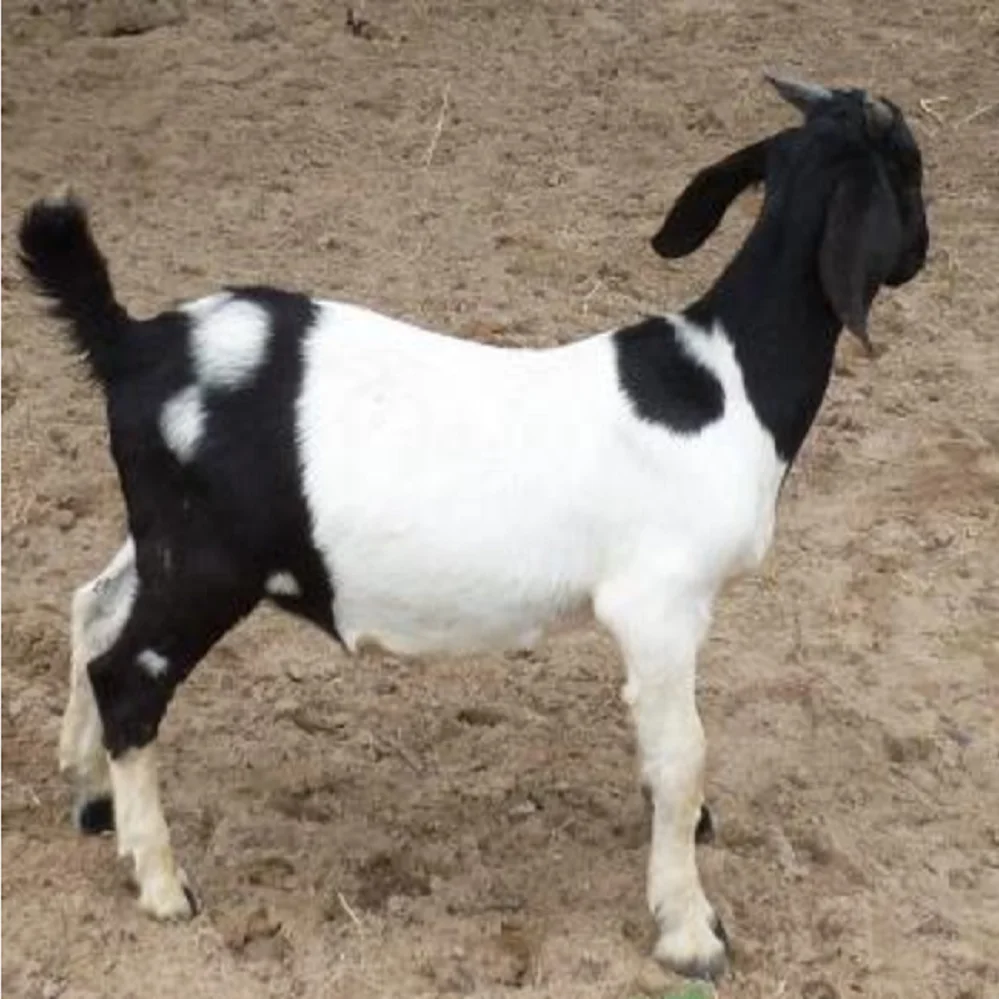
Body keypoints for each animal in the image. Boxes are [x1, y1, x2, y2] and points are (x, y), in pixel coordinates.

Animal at [18, 74, 928, 981]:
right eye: (909, 165)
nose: (921, 249)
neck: (727, 380)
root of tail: (131, 344)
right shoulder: (659, 603)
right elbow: (682, 756)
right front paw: (689, 929)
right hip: (210, 560)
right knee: (128, 675)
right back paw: (161, 881)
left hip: (164, 538)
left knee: (93, 606)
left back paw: (90, 792)